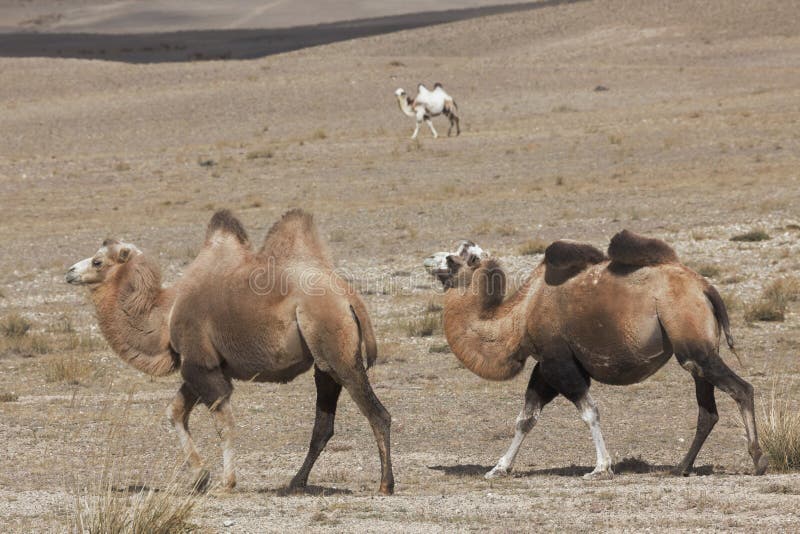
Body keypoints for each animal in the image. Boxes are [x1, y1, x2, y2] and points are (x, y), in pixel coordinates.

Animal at [66, 209, 394, 495]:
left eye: (97, 261)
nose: (69, 272)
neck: (164, 316)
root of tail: (350, 299)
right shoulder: (203, 365)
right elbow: (174, 412)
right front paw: (200, 478)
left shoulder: (200, 364)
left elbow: (223, 423)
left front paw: (226, 483)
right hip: (323, 361)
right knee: (324, 424)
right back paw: (295, 483)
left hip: (338, 349)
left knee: (377, 413)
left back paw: (385, 484)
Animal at [424, 232, 767, 480]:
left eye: (460, 257)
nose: (428, 259)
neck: (520, 317)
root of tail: (705, 287)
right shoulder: (546, 367)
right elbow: (526, 419)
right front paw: (498, 468)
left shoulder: (560, 363)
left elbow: (590, 412)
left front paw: (601, 468)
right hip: (697, 350)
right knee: (707, 411)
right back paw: (681, 467)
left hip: (692, 341)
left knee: (742, 389)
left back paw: (757, 460)